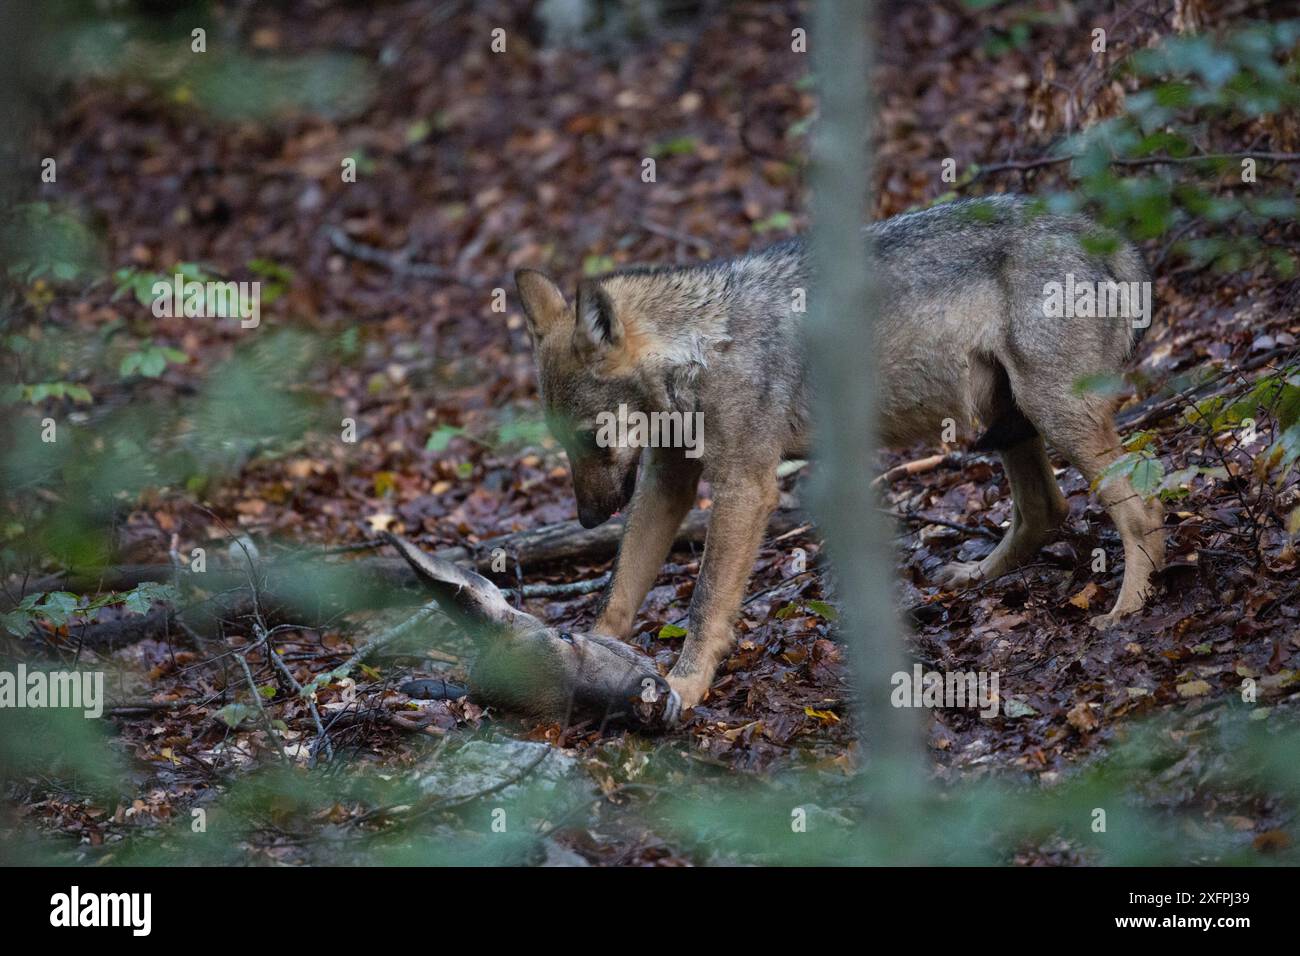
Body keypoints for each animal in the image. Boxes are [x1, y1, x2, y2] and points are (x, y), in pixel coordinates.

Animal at [514, 195, 1165, 720]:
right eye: (563, 442)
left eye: (588, 438)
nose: (587, 522)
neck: (698, 350)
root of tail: (1108, 239)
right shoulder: (667, 482)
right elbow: (621, 589)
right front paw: (589, 653)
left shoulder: (745, 485)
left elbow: (704, 604)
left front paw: (686, 682)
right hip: (1007, 420)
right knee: (1044, 510)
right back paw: (974, 576)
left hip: (1054, 415)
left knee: (1142, 511)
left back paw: (1127, 612)